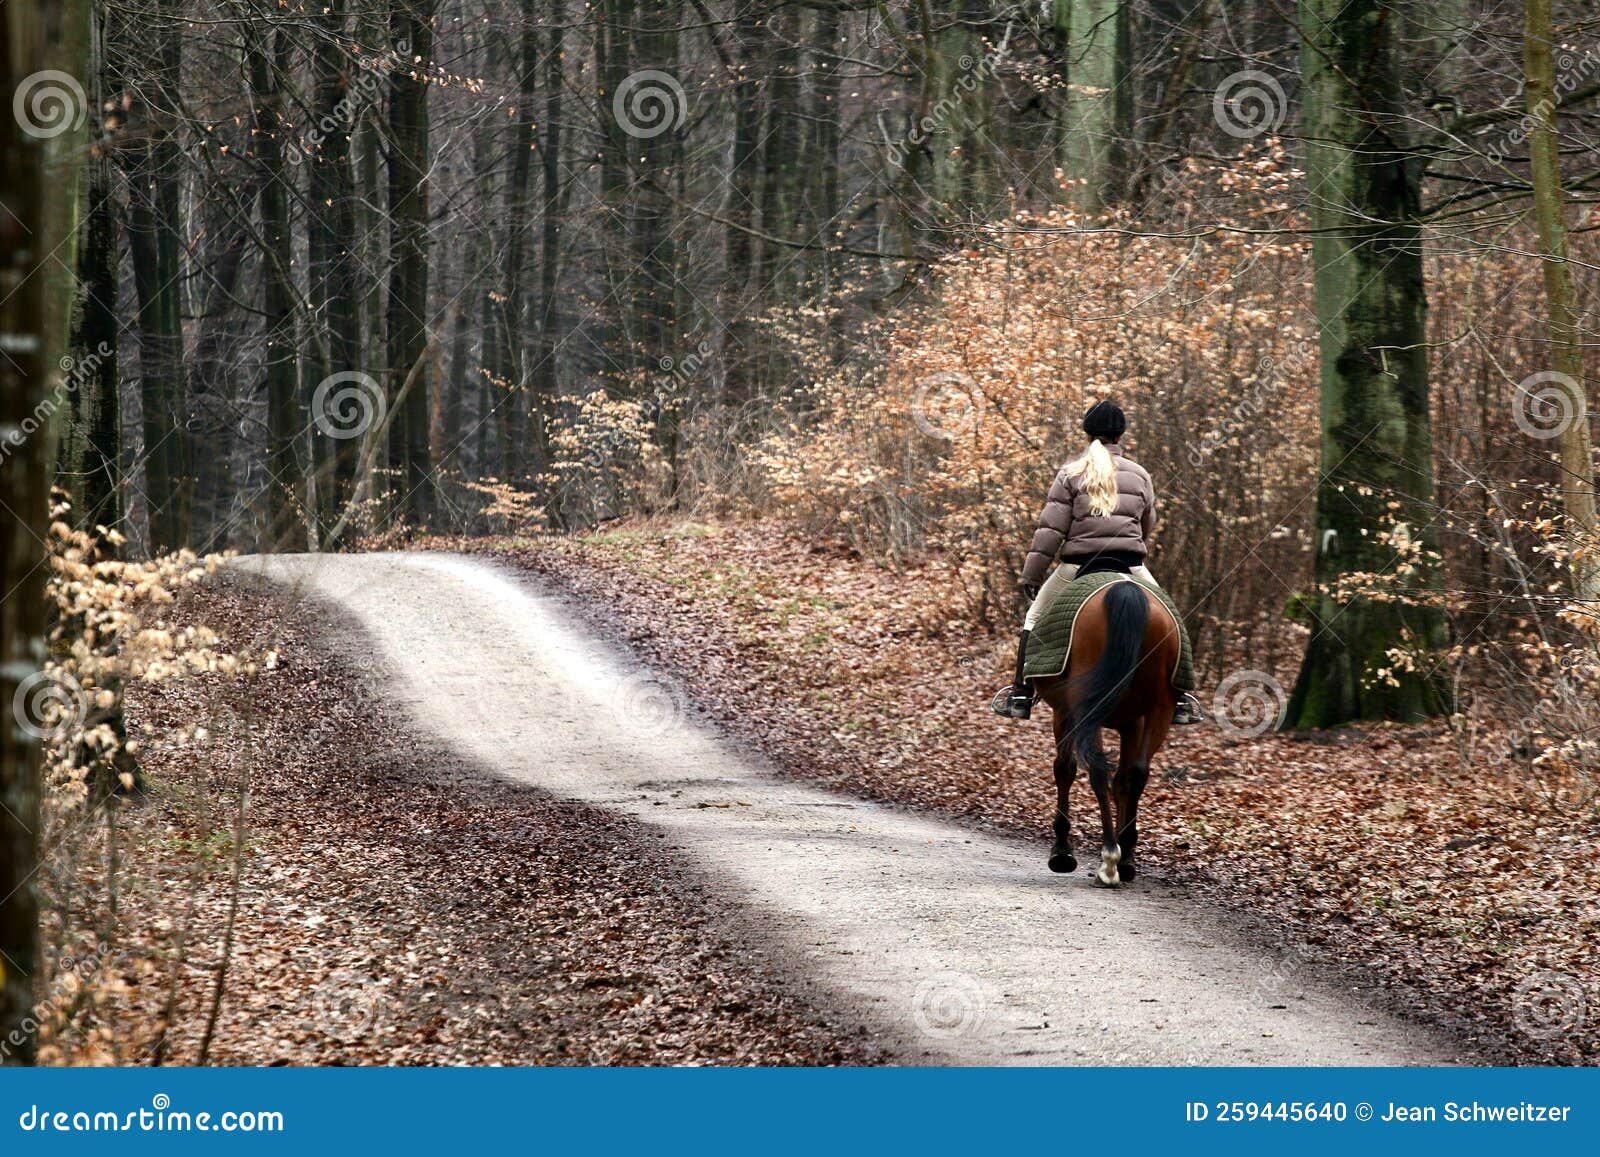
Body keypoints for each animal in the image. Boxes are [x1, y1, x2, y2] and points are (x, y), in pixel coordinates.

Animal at [1032, 579, 1181, 887]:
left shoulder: (1064, 713)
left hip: (1085, 707)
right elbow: (1123, 781)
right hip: (1161, 707)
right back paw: (1122, 860)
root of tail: (1126, 591)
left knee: (1098, 771)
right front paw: (1128, 854)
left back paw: (1110, 859)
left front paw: (1062, 852)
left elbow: (1064, 769)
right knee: (1136, 773)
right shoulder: (1135, 722)